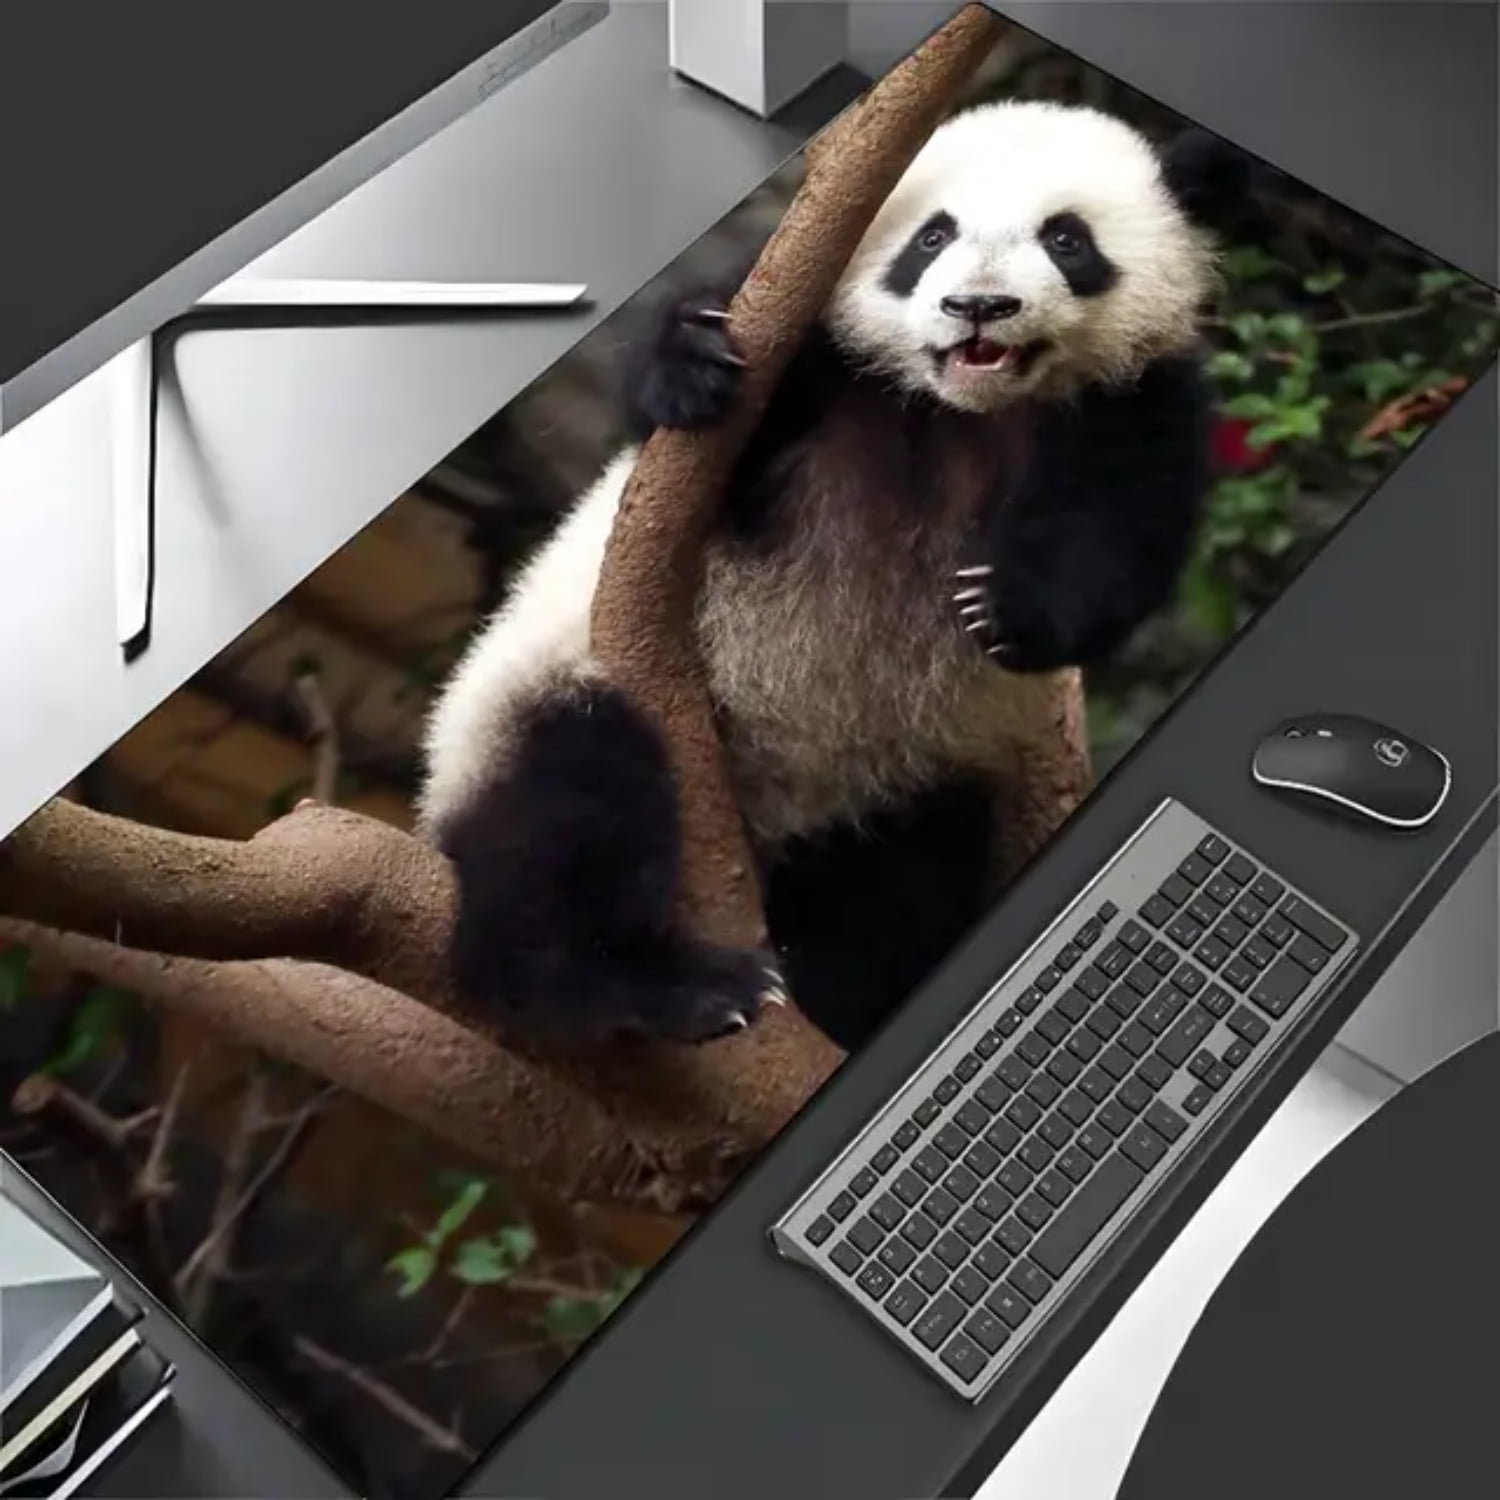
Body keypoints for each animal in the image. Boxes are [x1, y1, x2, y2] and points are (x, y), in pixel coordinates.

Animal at [417, 100, 1248, 1053]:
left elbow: (1119, 529)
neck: (950, 408)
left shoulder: (1137, 396)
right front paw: (689, 359)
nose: (978, 307)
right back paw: (660, 987)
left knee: (895, 884)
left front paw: (1008, 608)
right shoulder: (809, 363)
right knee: (574, 807)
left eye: (1067, 239)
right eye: (931, 236)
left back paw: (831, 997)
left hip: (896, 784)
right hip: (536, 699)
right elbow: (687, 457)